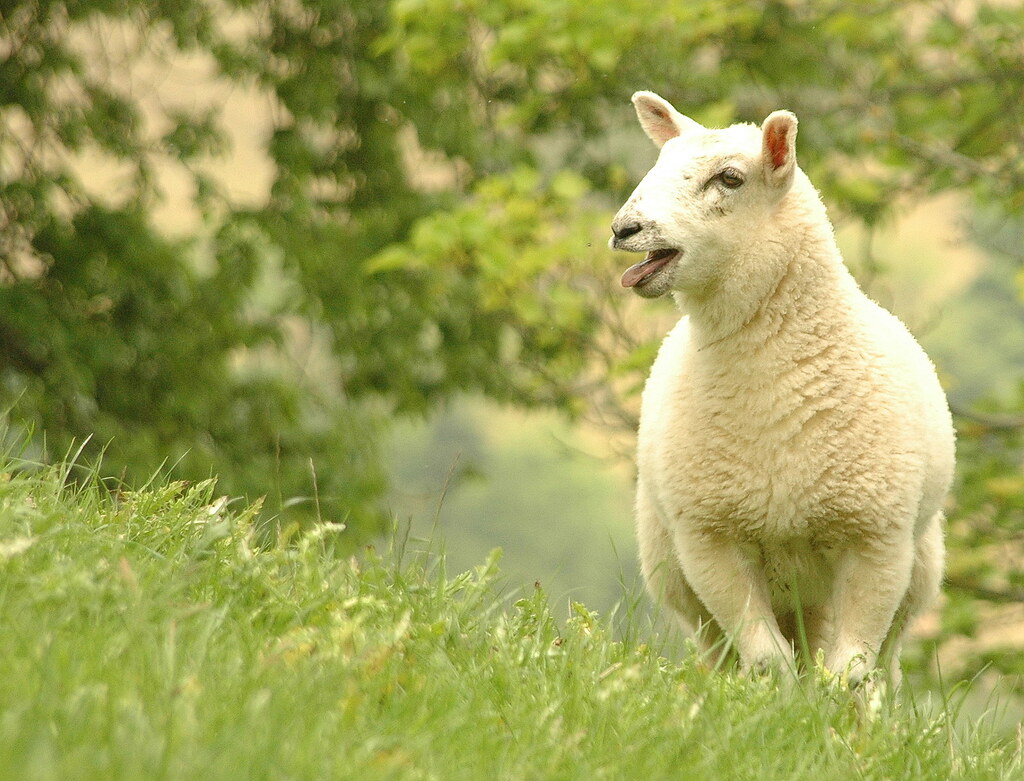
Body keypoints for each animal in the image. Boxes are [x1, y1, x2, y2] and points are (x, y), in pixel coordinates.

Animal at [609, 91, 955, 687]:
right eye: (658, 163)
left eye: (729, 178)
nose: (624, 228)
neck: (774, 395)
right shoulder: (710, 542)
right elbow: (767, 662)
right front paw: (775, 709)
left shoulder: (877, 541)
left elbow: (850, 672)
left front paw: (839, 714)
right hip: (678, 575)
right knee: (728, 652)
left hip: (916, 572)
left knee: (882, 662)